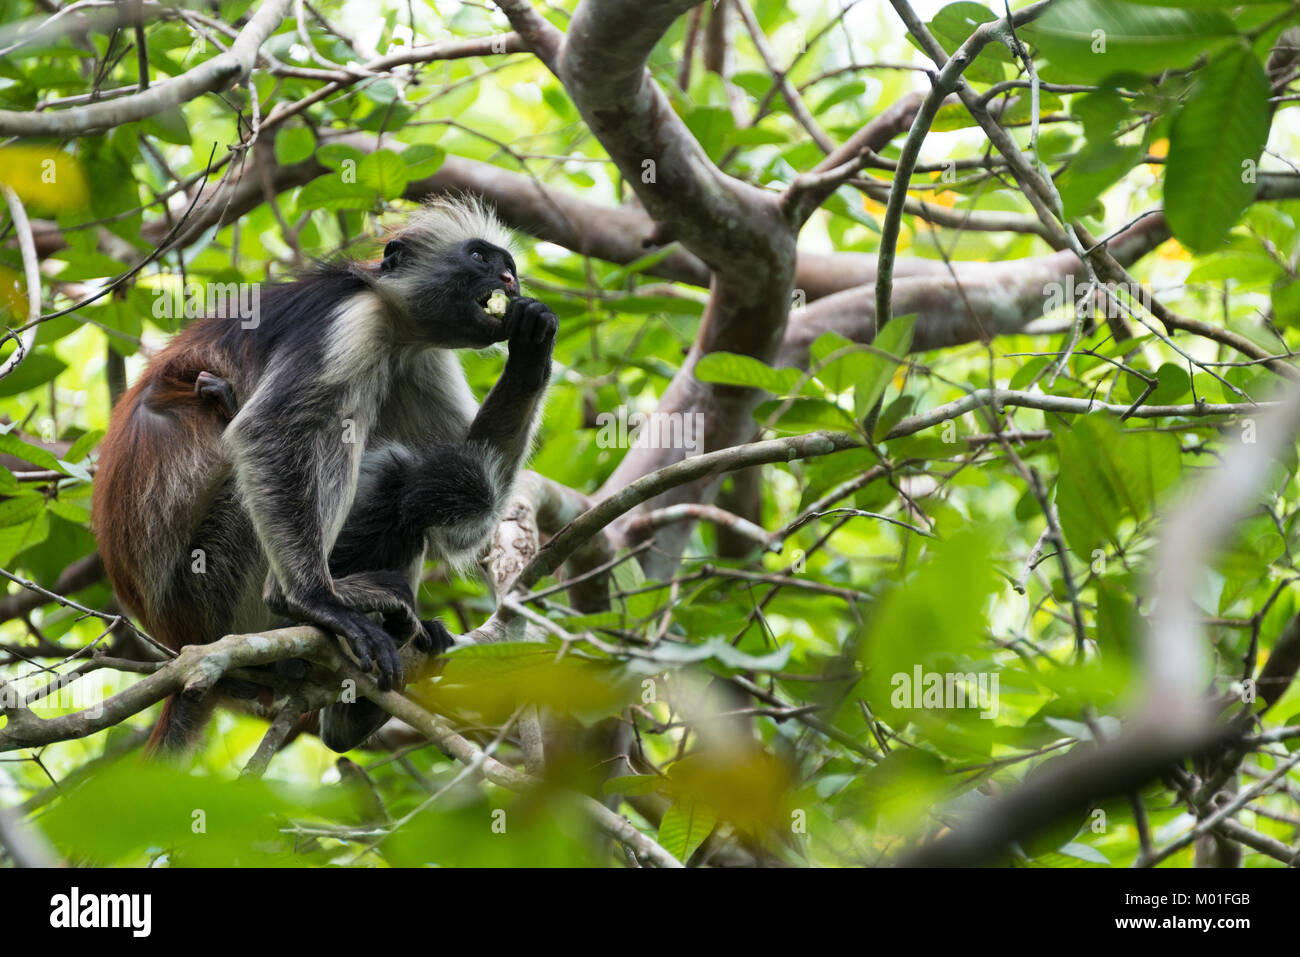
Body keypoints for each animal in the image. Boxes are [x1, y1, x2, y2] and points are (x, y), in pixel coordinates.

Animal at [92, 197, 557, 755]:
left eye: (507, 264)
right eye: (480, 256)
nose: (509, 278)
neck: (390, 315)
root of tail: (176, 636)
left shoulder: (419, 356)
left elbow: (469, 504)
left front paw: (532, 351)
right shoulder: (350, 322)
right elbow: (270, 430)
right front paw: (316, 601)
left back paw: (355, 709)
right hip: (213, 583)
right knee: (358, 452)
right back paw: (303, 603)